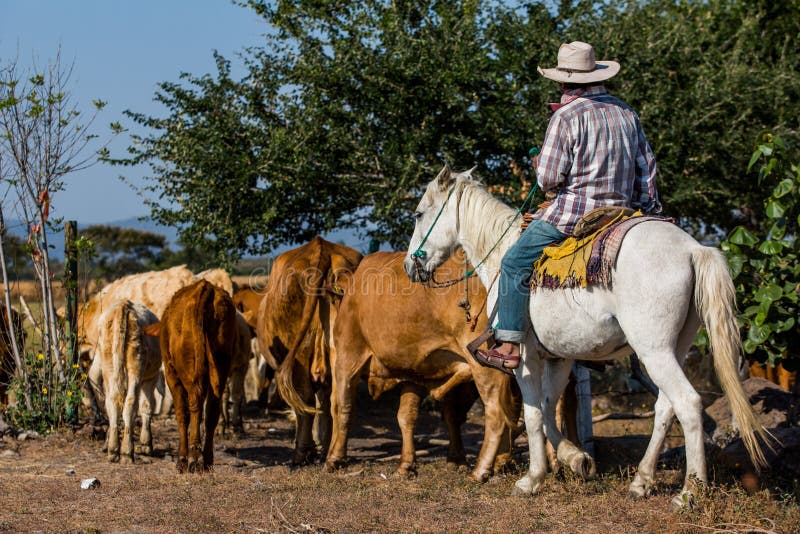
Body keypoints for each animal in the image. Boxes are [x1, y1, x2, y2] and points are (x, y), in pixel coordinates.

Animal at [88, 300, 161, 463]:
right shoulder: (151, 378)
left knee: (112, 401)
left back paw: (113, 449)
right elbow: (147, 406)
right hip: (136, 365)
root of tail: (123, 305)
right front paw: (146, 444)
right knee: (131, 403)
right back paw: (127, 451)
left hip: (109, 362)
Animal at [158, 279, 237, 473]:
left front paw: (182, 459)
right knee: (212, 409)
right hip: (221, 361)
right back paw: (207, 460)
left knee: (195, 401)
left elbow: (181, 413)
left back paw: (192, 457)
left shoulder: (171, 373)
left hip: (186, 369)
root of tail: (205, 287)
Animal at [257, 237, 362, 465]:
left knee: (304, 402)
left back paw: (302, 453)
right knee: (338, 401)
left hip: (299, 353)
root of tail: (320, 247)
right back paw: (334, 456)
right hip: (343, 351)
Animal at [318, 251, 519, 481]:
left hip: (486, 367)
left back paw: (482, 470)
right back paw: (502, 463)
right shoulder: (415, 371)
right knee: (513, 412)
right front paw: (406, 465)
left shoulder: (347, 356)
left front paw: (334, 458)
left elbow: (342, 407)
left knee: (497, 415)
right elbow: (407, 416)